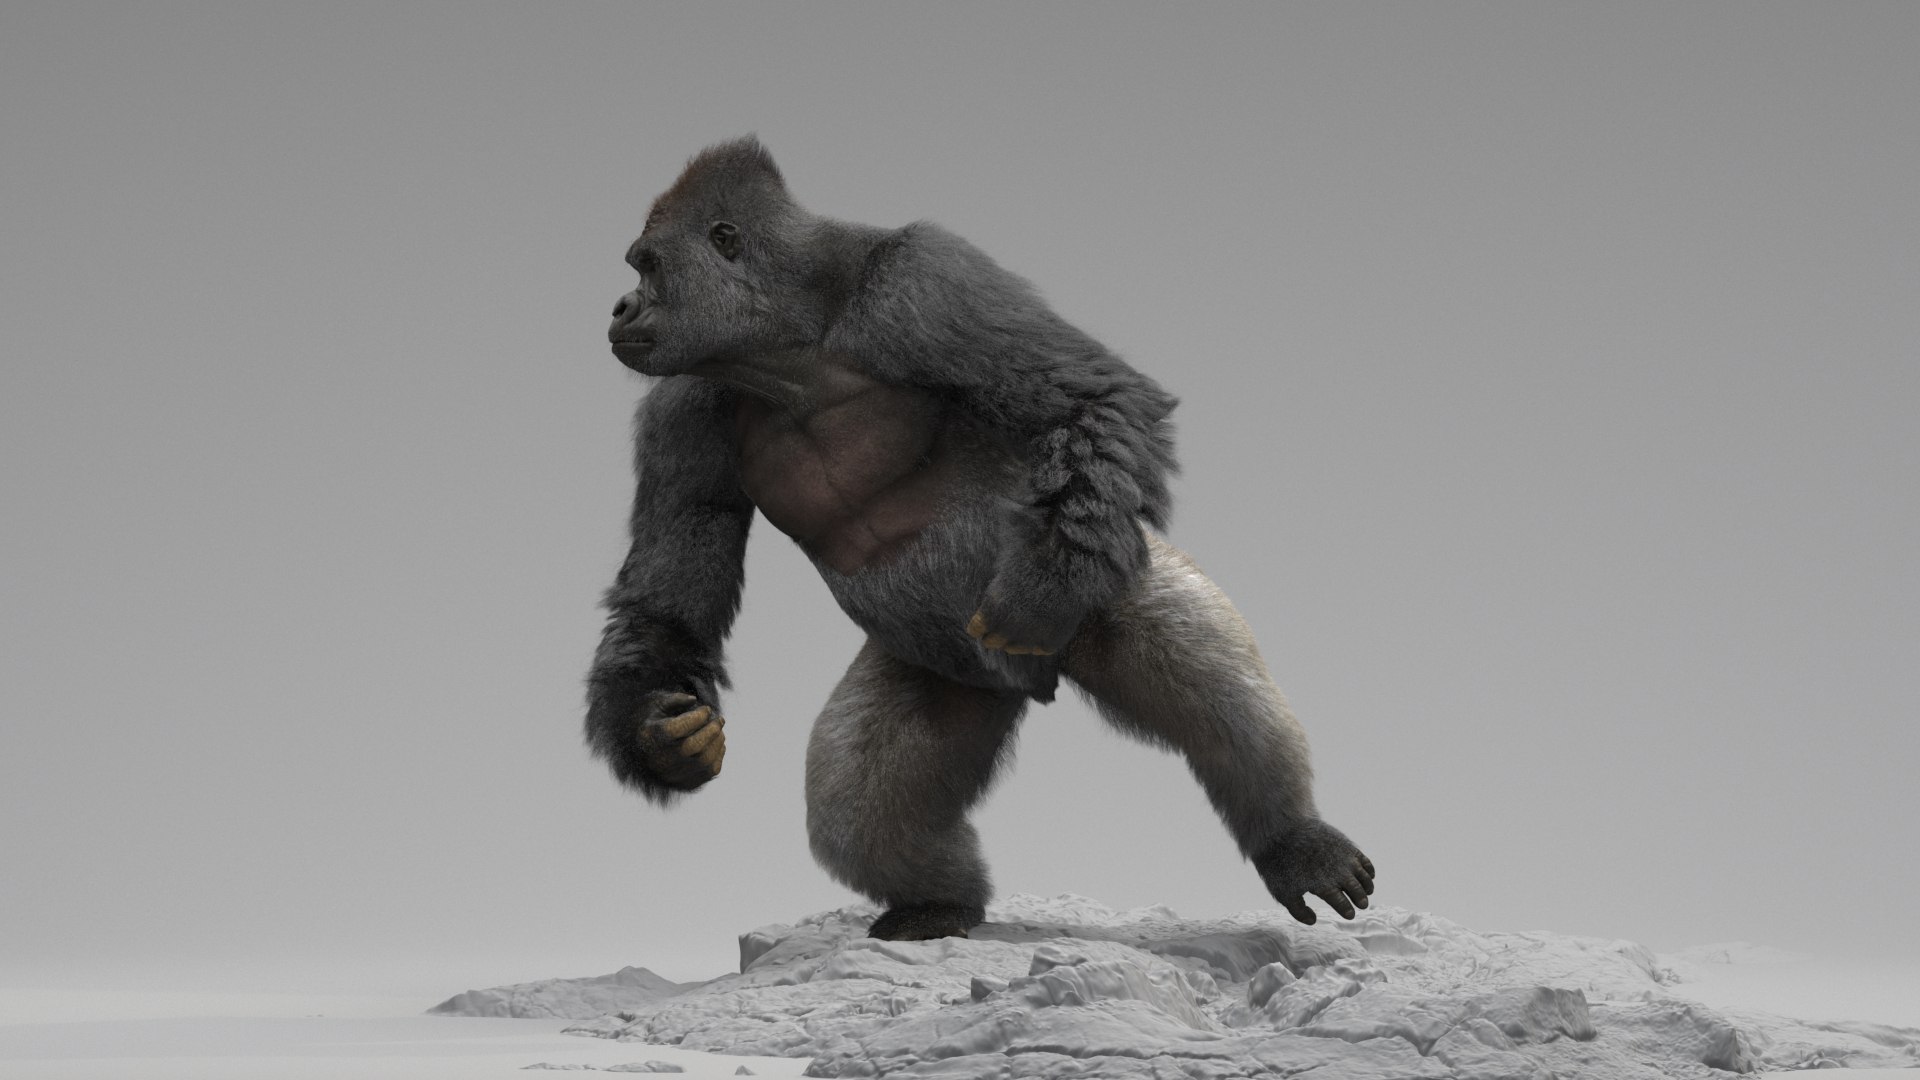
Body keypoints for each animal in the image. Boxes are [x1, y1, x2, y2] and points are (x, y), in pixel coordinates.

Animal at [586, 137, 1374, 941]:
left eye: (646, 266)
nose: (619, 306)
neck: (790, 337)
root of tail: (1043, 677)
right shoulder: (681, 409)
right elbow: (666, 607)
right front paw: (660, 739)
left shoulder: (928, 283)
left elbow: (1096, 398)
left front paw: (1042, 590)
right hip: (954, 671)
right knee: (859, 811)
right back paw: (938, 904)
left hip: (1100, 584)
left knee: (1209, 681)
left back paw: (1293, 838)